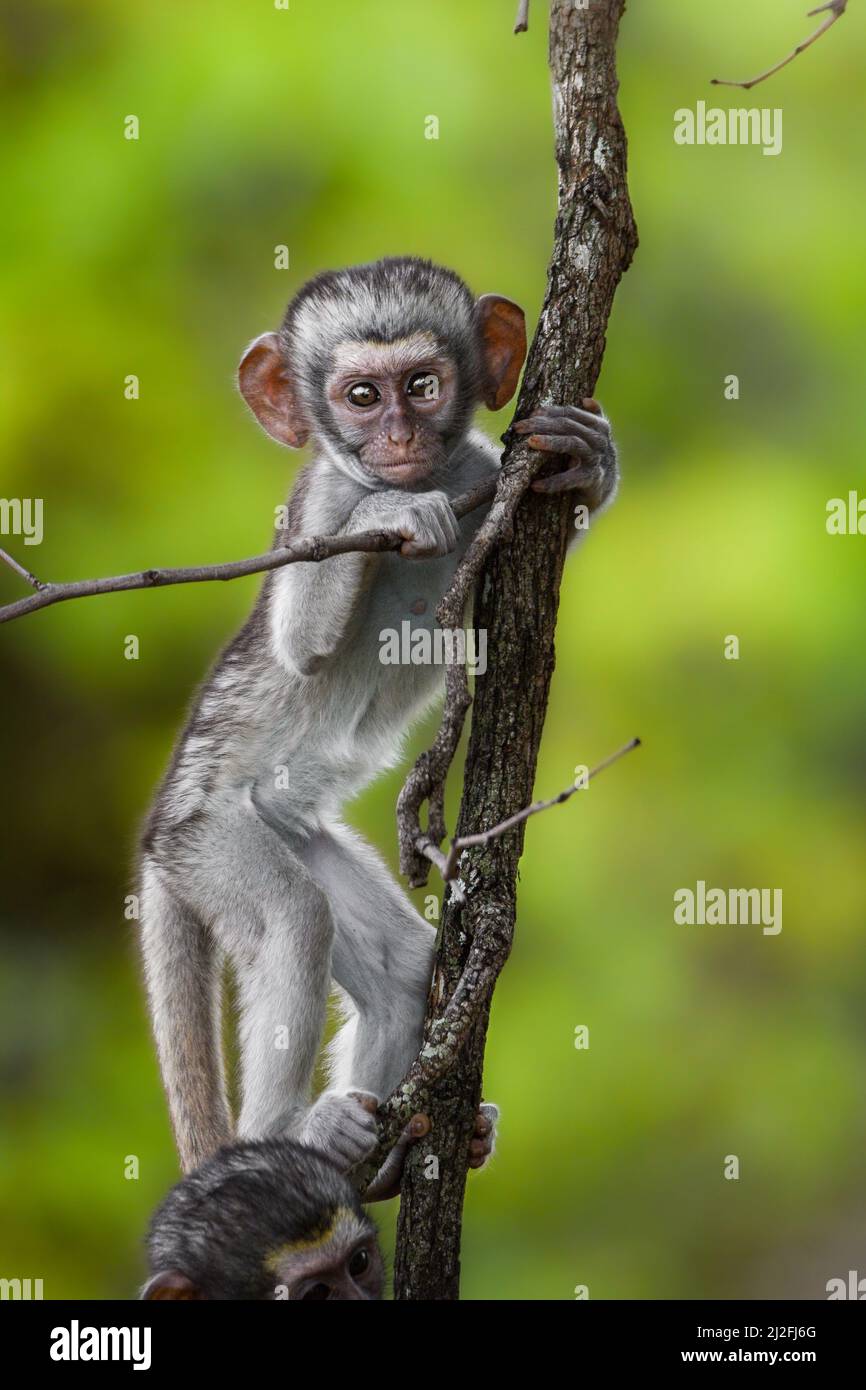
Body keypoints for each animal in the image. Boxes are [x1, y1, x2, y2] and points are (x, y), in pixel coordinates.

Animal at [138, 256, 617, 1178]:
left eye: (422, 386)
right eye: (362, 396)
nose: (398, 438)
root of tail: (158, 828)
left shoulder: (481, 465)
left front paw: (591, 462)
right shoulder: (322, 497)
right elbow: (300, 642)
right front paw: (388, 517)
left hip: (286, 829)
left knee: (401, 967)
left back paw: (404, 1153)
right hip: (206, 838)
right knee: (294, 918)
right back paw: (293, 1133)